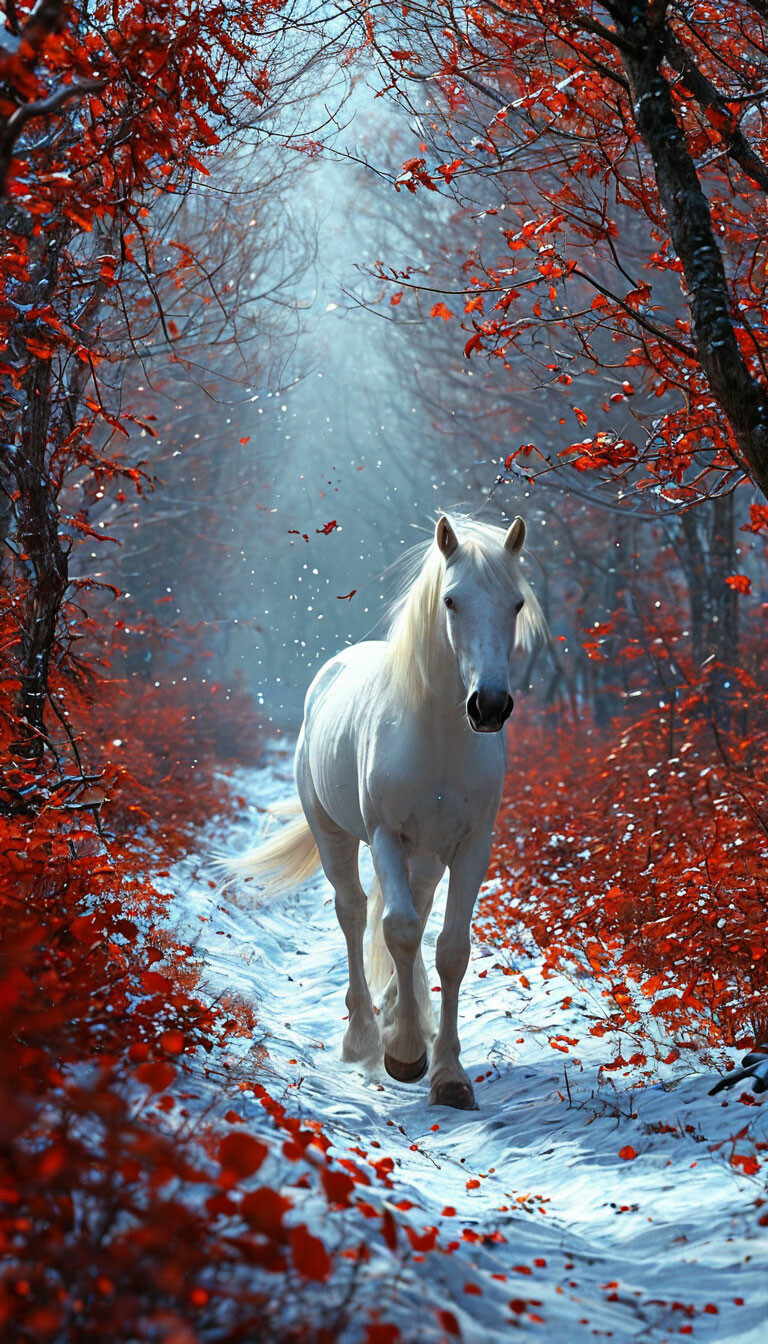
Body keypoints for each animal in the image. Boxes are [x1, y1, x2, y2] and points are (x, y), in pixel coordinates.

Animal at [225, 513, 546, 1109]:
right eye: (451, 601)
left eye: (515, 603)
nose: (489, 706)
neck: (439, 738)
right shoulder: (385, 837)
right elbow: (396, 928)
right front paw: (405, 1054)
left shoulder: (472, 846)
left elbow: (451, 949)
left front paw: (448, 1074)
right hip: (336, 835)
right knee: (354, 913)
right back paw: (364, 1038)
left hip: (427, 856)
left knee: (417, 912)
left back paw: (400, 1013)